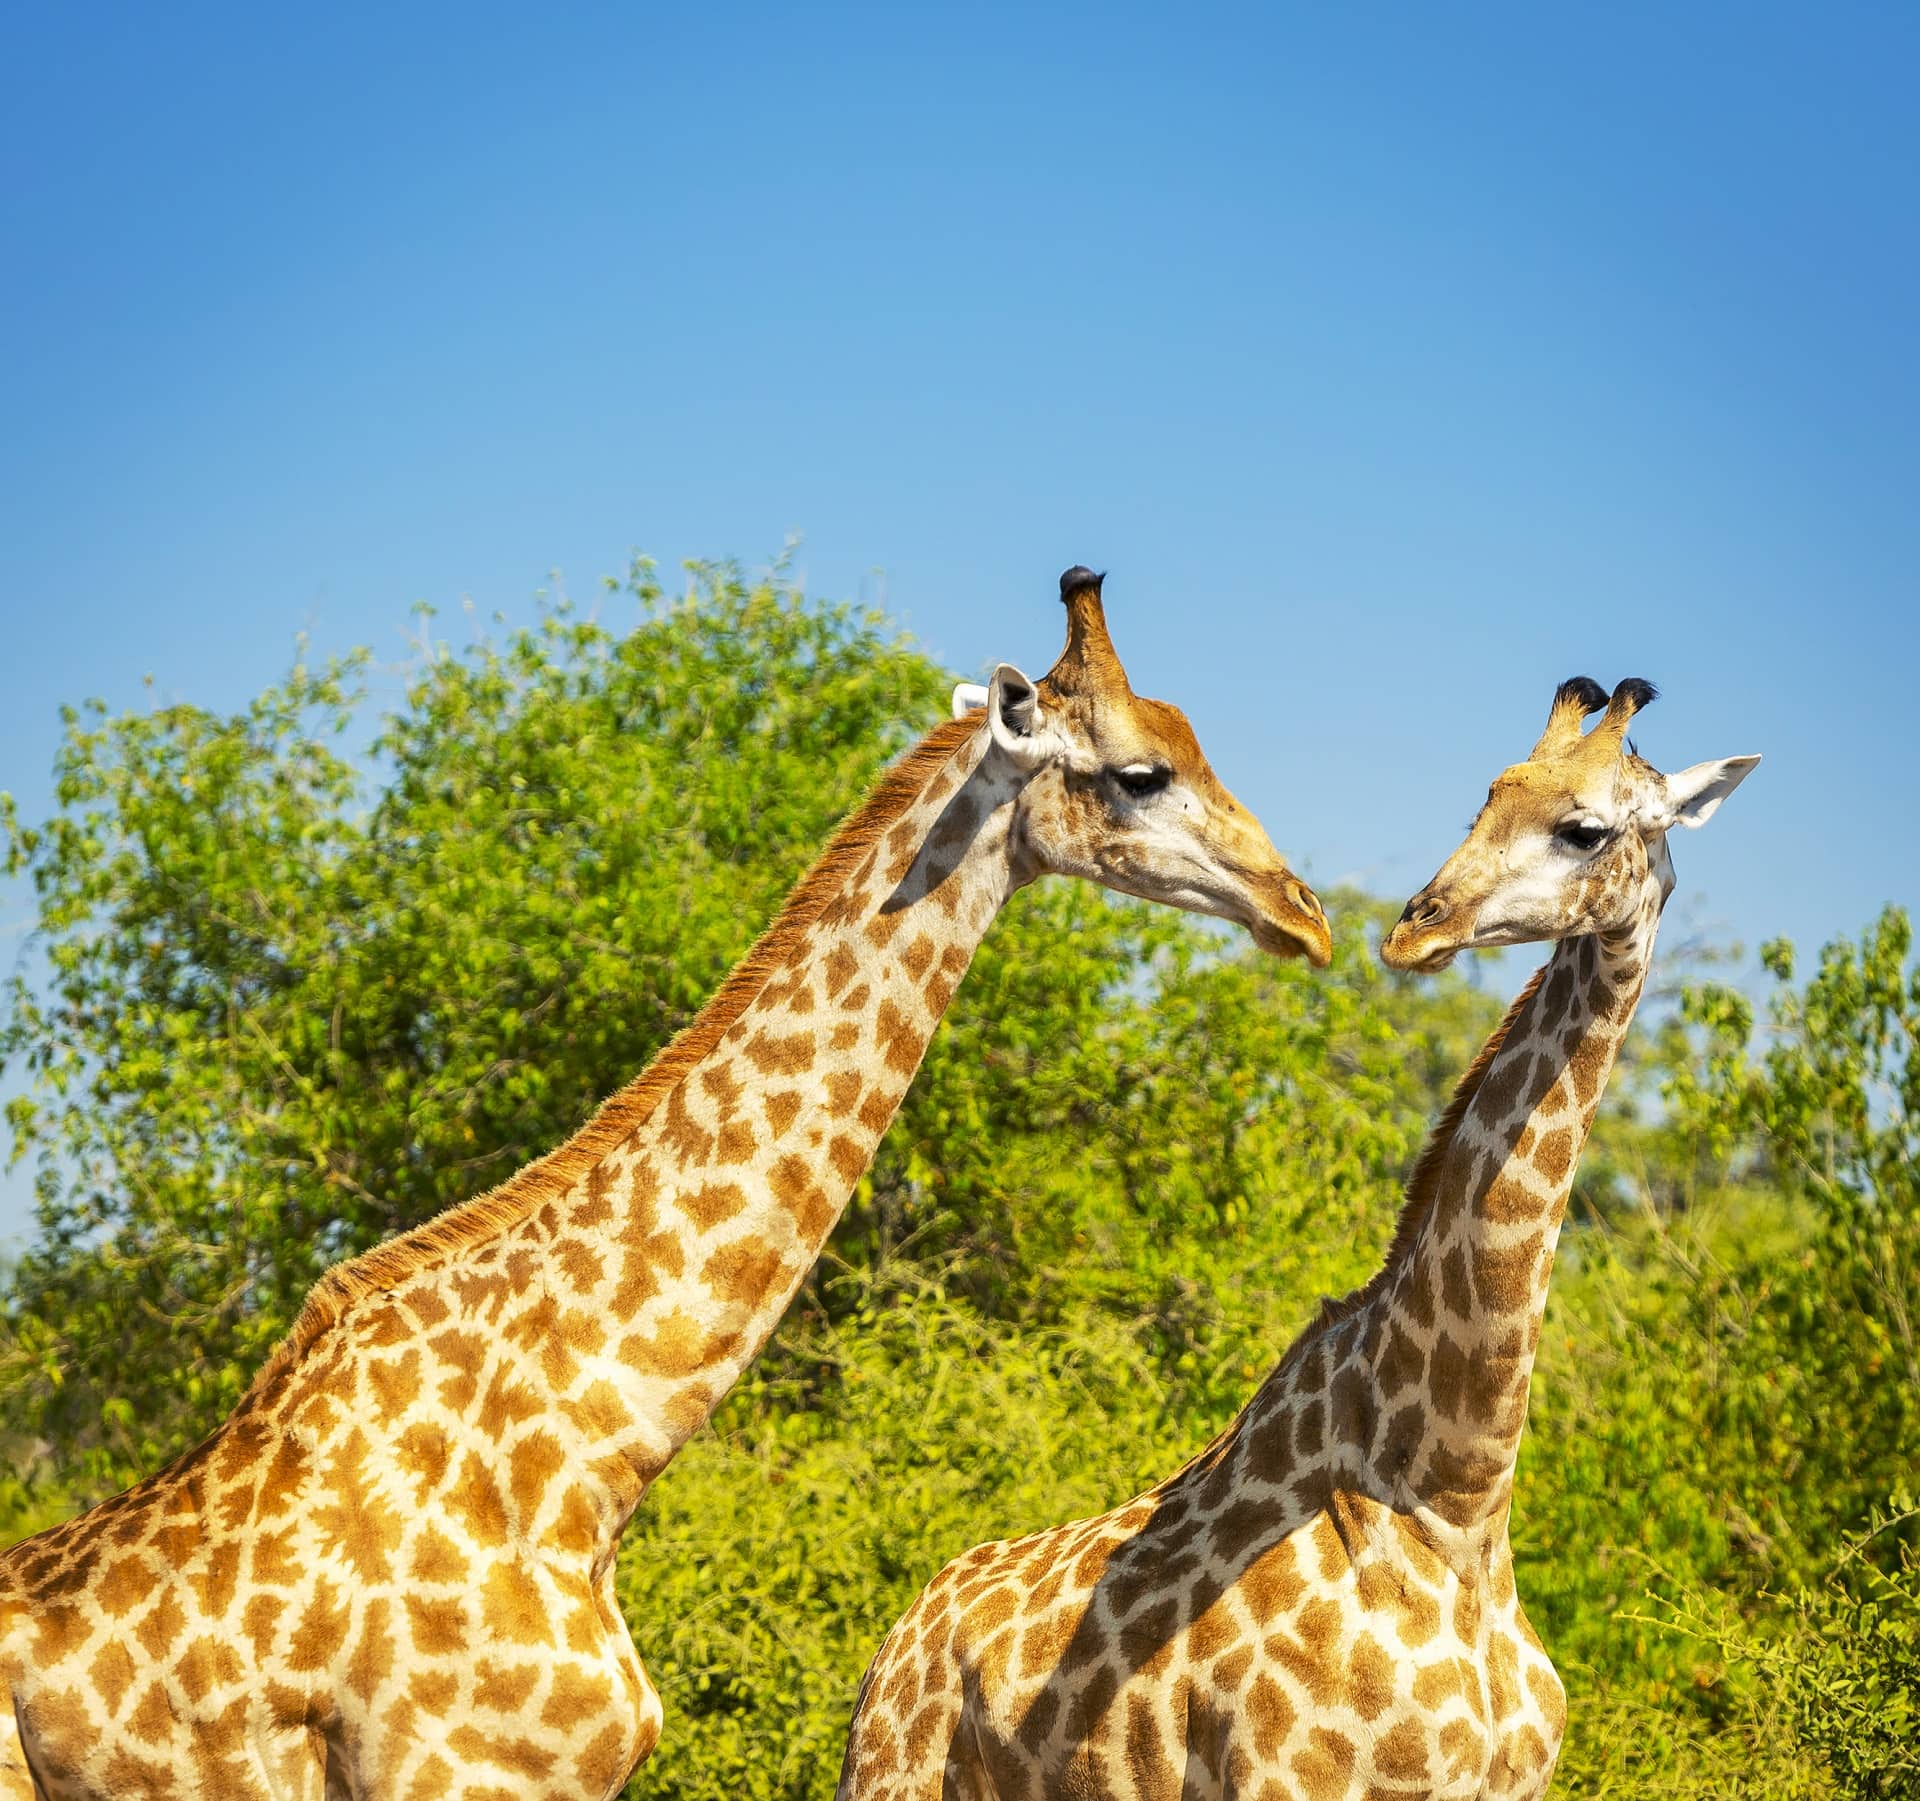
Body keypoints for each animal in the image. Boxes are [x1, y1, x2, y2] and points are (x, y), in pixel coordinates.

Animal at [838, 675, 1758, 1801]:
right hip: (886, 1772)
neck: (1458, 1497)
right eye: (1485, 799)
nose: (1414, 928)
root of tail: (895, 1640)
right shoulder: (1287, 1778)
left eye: (1583, 829)